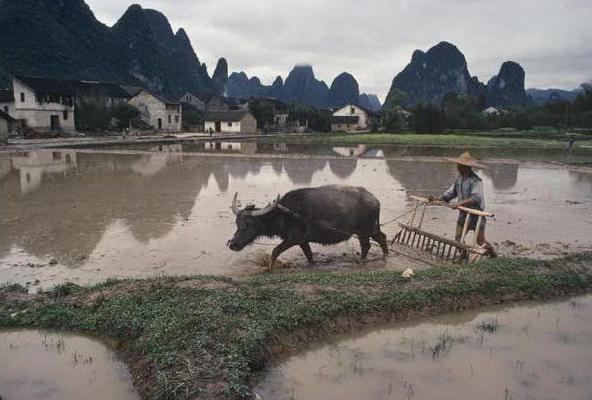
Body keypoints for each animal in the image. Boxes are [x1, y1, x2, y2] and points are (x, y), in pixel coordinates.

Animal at [227, 185, 388, 268]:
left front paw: (270, 268)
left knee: (366, 245)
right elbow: (309, 255)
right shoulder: (303, 241)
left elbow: (275, 251)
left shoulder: (293, 239)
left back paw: (361, 260)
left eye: (249, 224)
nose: (233, 244)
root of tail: (375, 200)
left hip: (364, 230)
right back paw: (385, 255)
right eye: (237, 223)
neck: (287, 214)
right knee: (382, 237)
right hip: (371, 229)